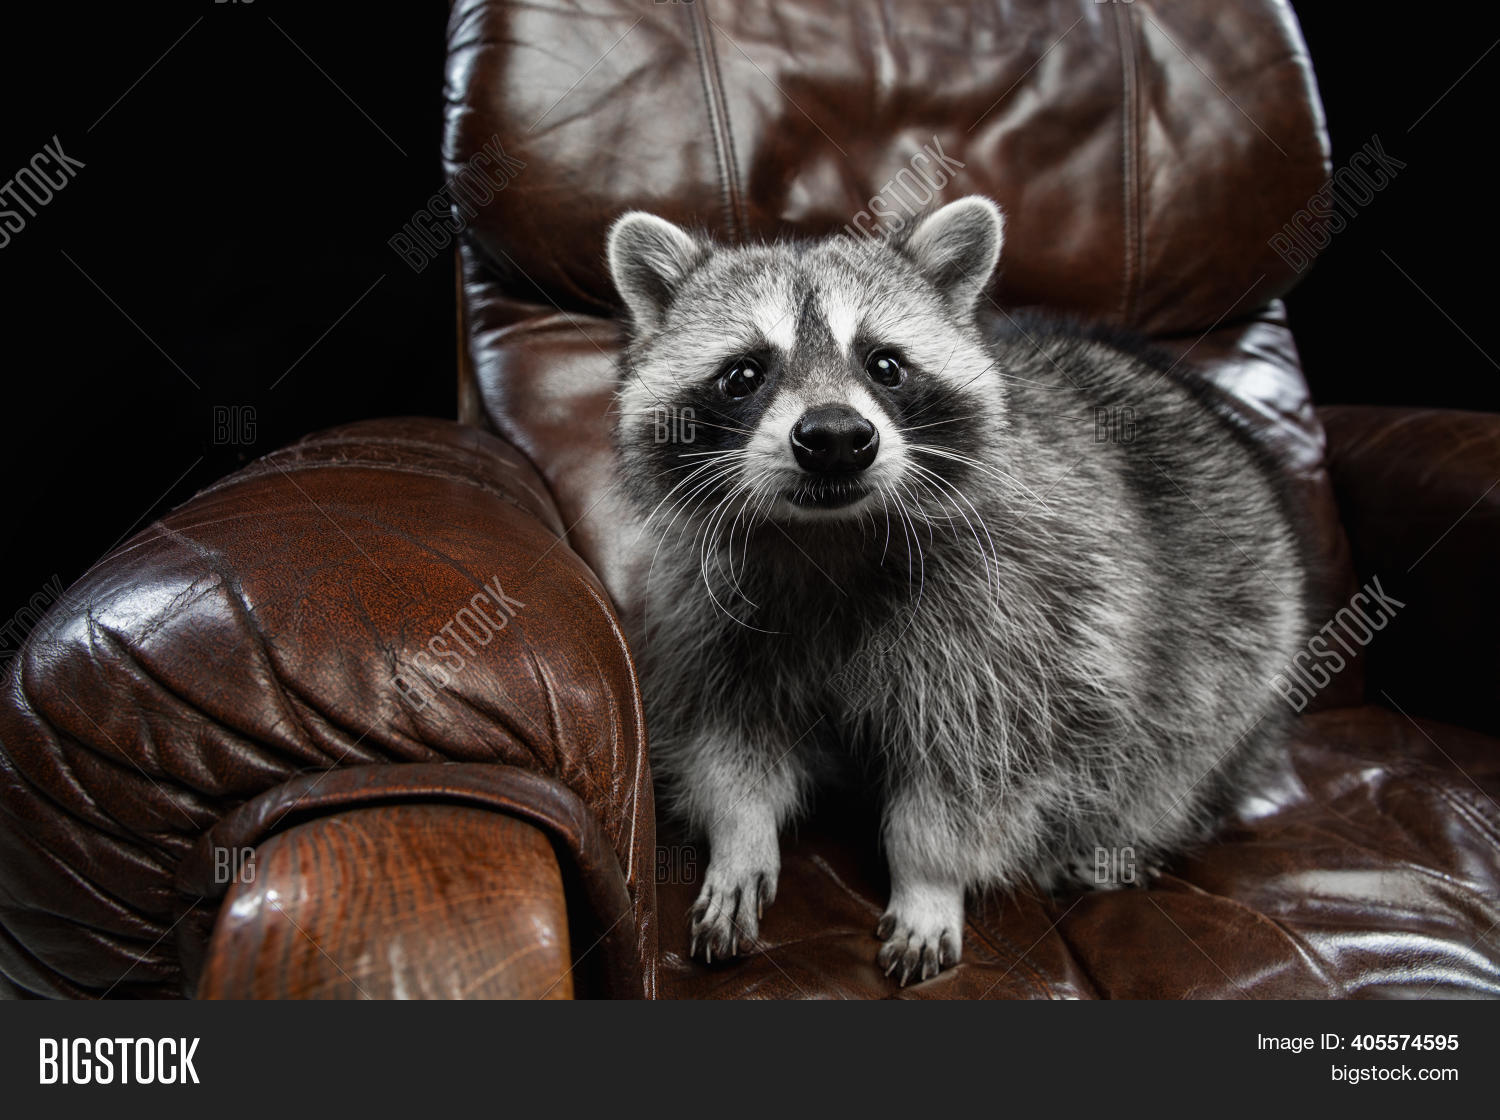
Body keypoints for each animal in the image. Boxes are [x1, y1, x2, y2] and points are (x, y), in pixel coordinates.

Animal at [606, 196, 1307, 984]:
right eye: (744, 374)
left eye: (885, 365)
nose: (835, 438)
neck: (831, 534)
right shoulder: (713, 618)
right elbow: (729, 736)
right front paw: (740, 837)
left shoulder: (1018, 626)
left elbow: (971, 771)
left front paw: (928, 878)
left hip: (1243, 641)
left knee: (1172, 750)